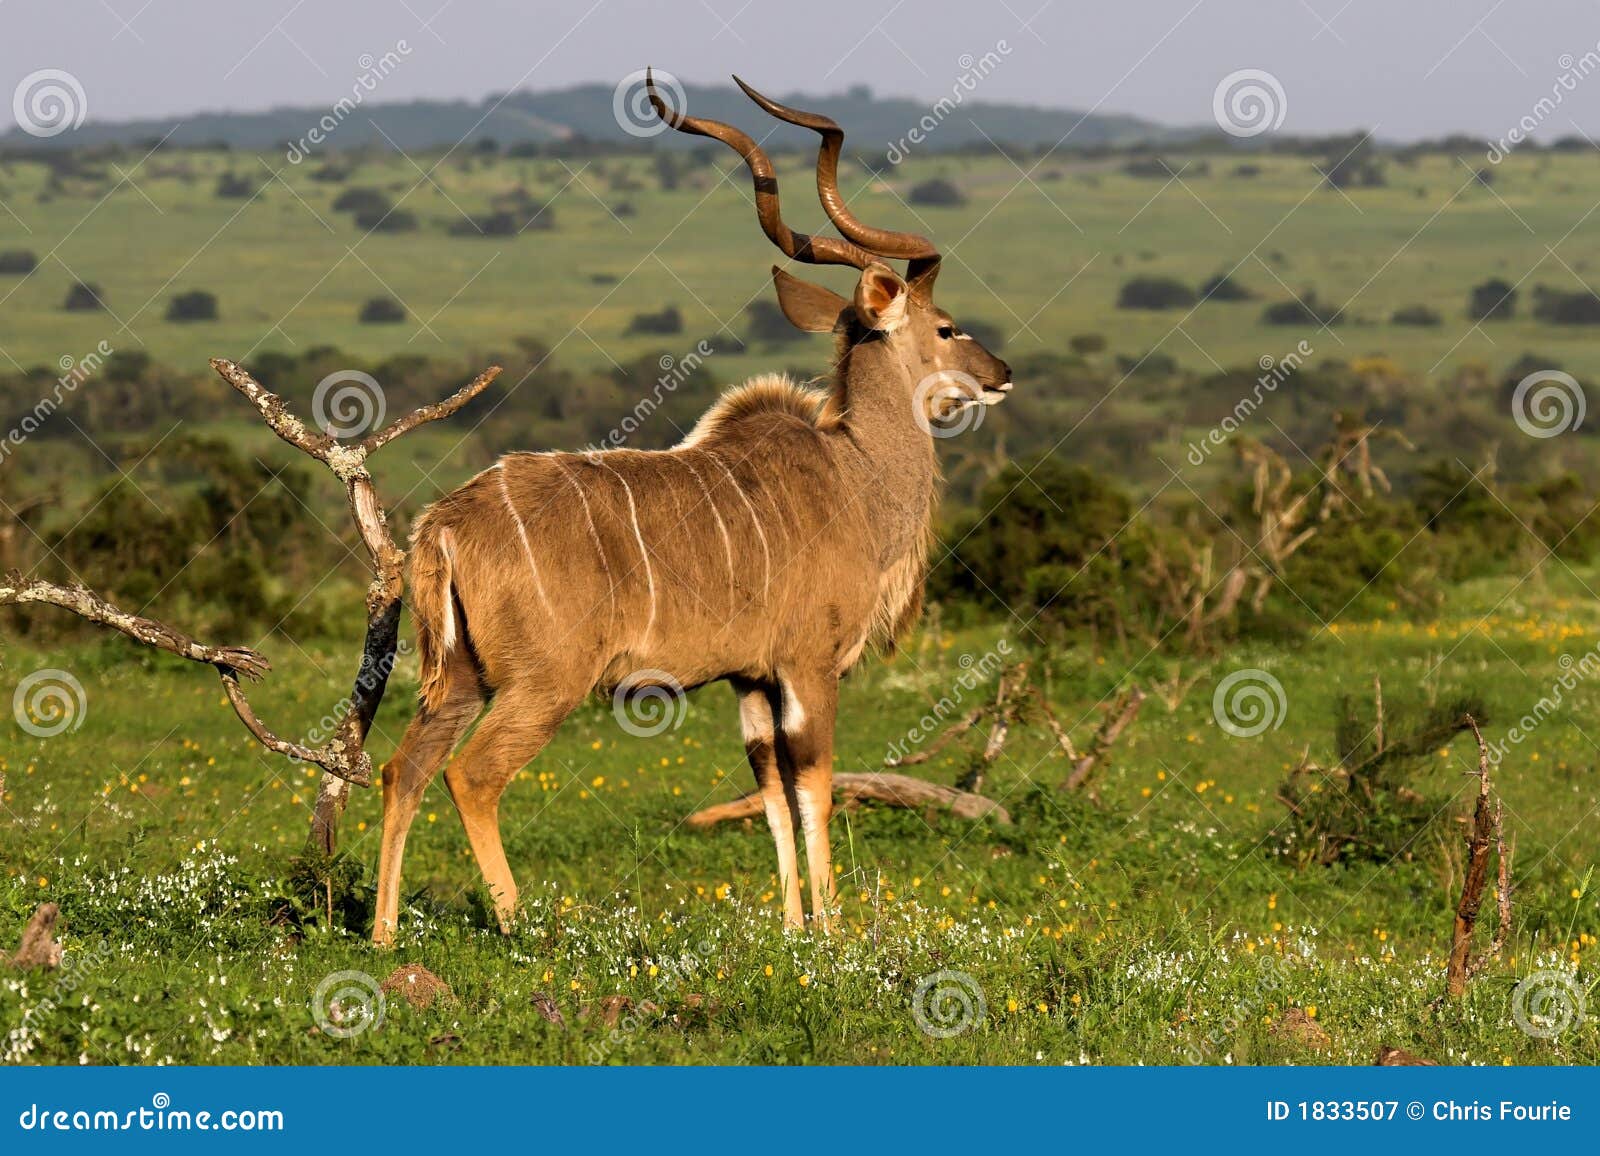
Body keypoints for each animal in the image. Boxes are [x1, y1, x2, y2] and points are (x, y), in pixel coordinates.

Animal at [372, 71, 1013, 945]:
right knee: (472, 775)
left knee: (403, 768)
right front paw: (833, 932)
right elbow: (815, 783)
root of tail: (442, 526)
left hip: (461, 678)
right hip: (544, 685)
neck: (854, 473)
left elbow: (771, 789)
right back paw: (518, 925)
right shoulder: (807, 665)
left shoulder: (749, 679)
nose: (1002, 373)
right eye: (946, 328)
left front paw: (793, 928)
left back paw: (381, 933)